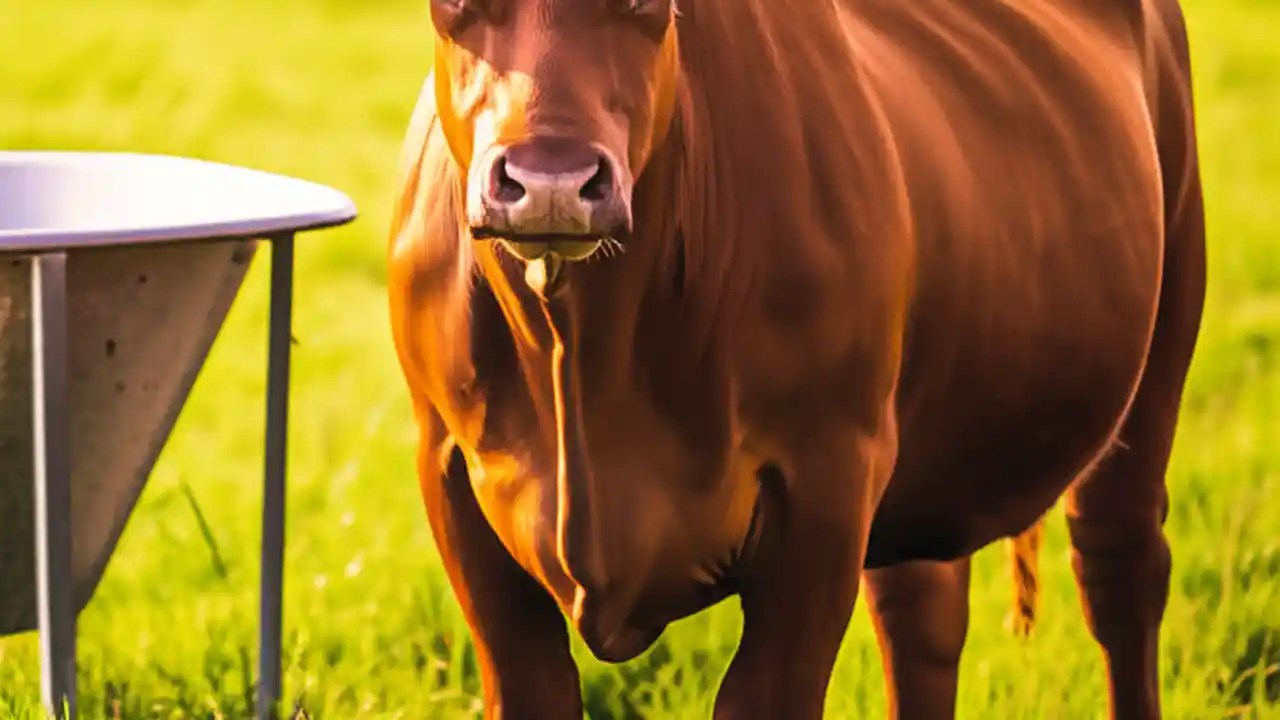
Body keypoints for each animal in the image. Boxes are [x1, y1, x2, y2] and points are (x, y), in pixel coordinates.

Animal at [386, 0, 1206, 717]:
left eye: (647, 1)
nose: (550, 180)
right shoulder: (447, 464)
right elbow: (531, 690)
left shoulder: (829, 478)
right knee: (922, 615)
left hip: (1165, 323)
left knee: (1120, 566)